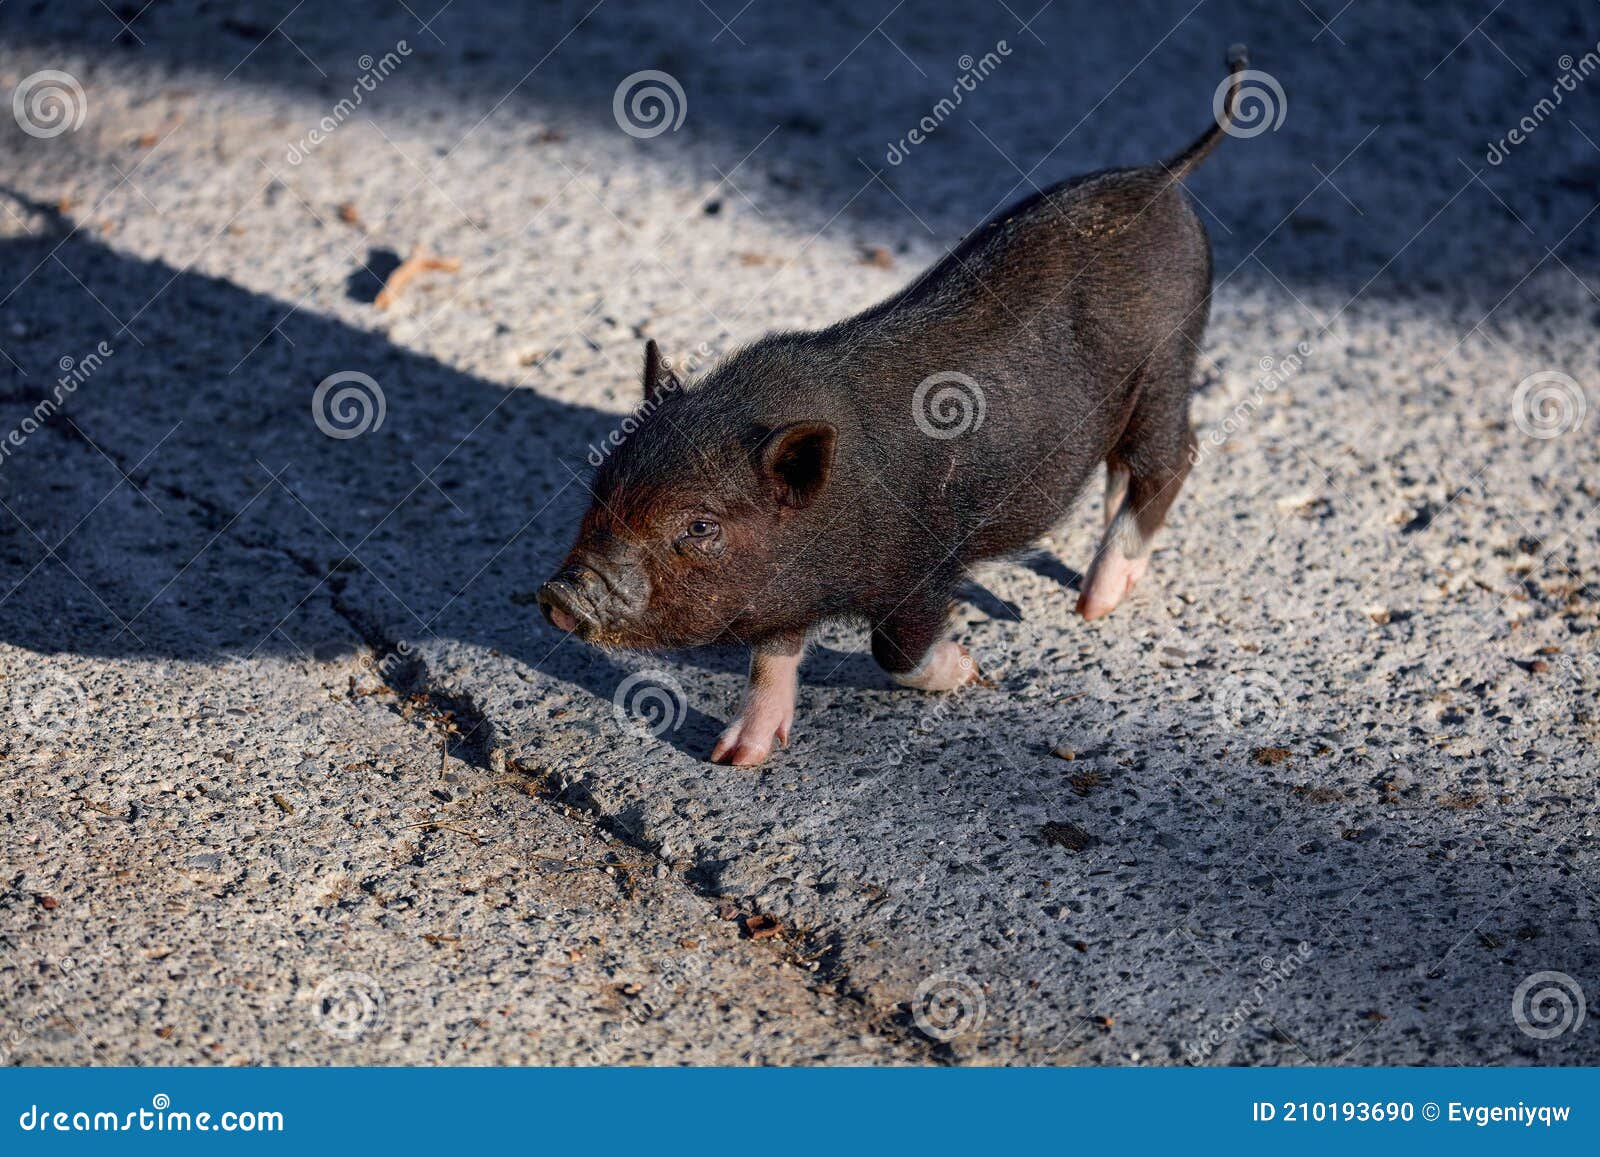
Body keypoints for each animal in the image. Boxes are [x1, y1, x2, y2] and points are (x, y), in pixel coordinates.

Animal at [539, 48, 1249, 766]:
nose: (558, 595)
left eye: (700, 526)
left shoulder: (924, 563)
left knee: (1174, 457)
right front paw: (734, 756)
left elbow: (894, 651)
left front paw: (970, 670)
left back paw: (1092, 605)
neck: (840, 502)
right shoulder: (785, 590)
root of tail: (1160, 176)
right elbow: (773, 652)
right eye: (599, 488)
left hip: (1168, 361)